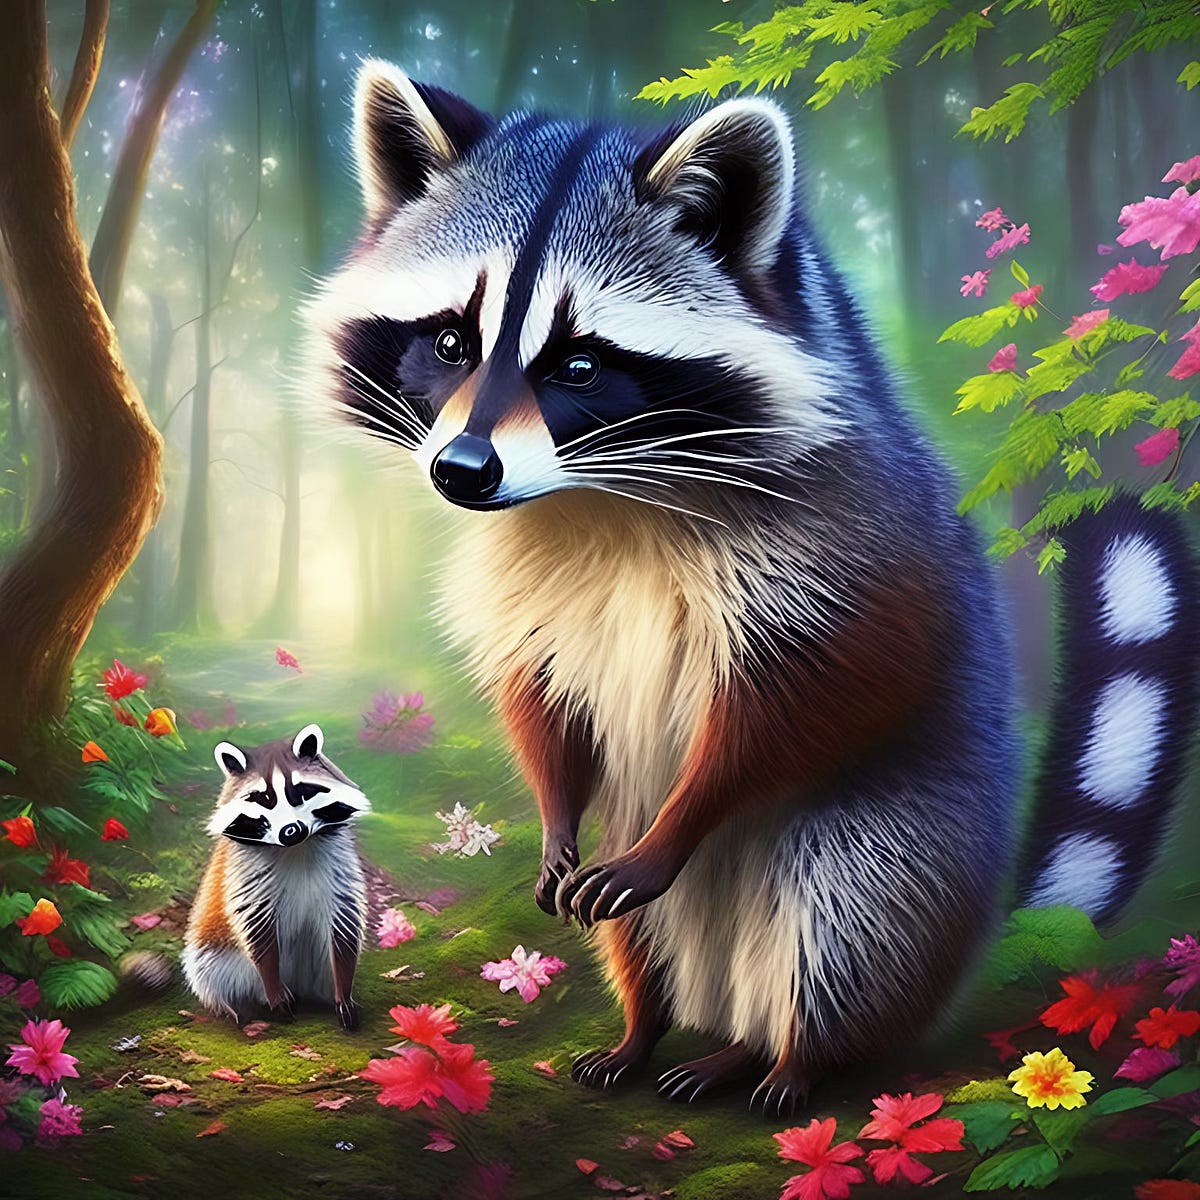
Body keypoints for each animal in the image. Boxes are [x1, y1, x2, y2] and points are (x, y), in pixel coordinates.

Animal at [182, 724, 370, 1030]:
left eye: (299, 793)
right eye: (263, 799)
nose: (291, 831)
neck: (295, 848)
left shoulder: (339, 866)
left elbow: (343, 929)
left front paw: (344, 992)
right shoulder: (248, 879)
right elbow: (259, 935)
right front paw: (274, 992)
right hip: (213, 953)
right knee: (208, 970)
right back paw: (235, 1005)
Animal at [306, 62, 1200, 1109]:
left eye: (580, 364)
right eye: (449, 342)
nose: (461, 471)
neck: (602, 493)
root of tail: (725, 1000)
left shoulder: (846, 543)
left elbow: (812, 695)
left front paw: (694, 809)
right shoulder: (514, 573)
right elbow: (542, 697)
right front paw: (554, 814)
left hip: (892, 836)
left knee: (849, 923)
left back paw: (790, 1059)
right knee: (633, 934)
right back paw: (646, 1030)